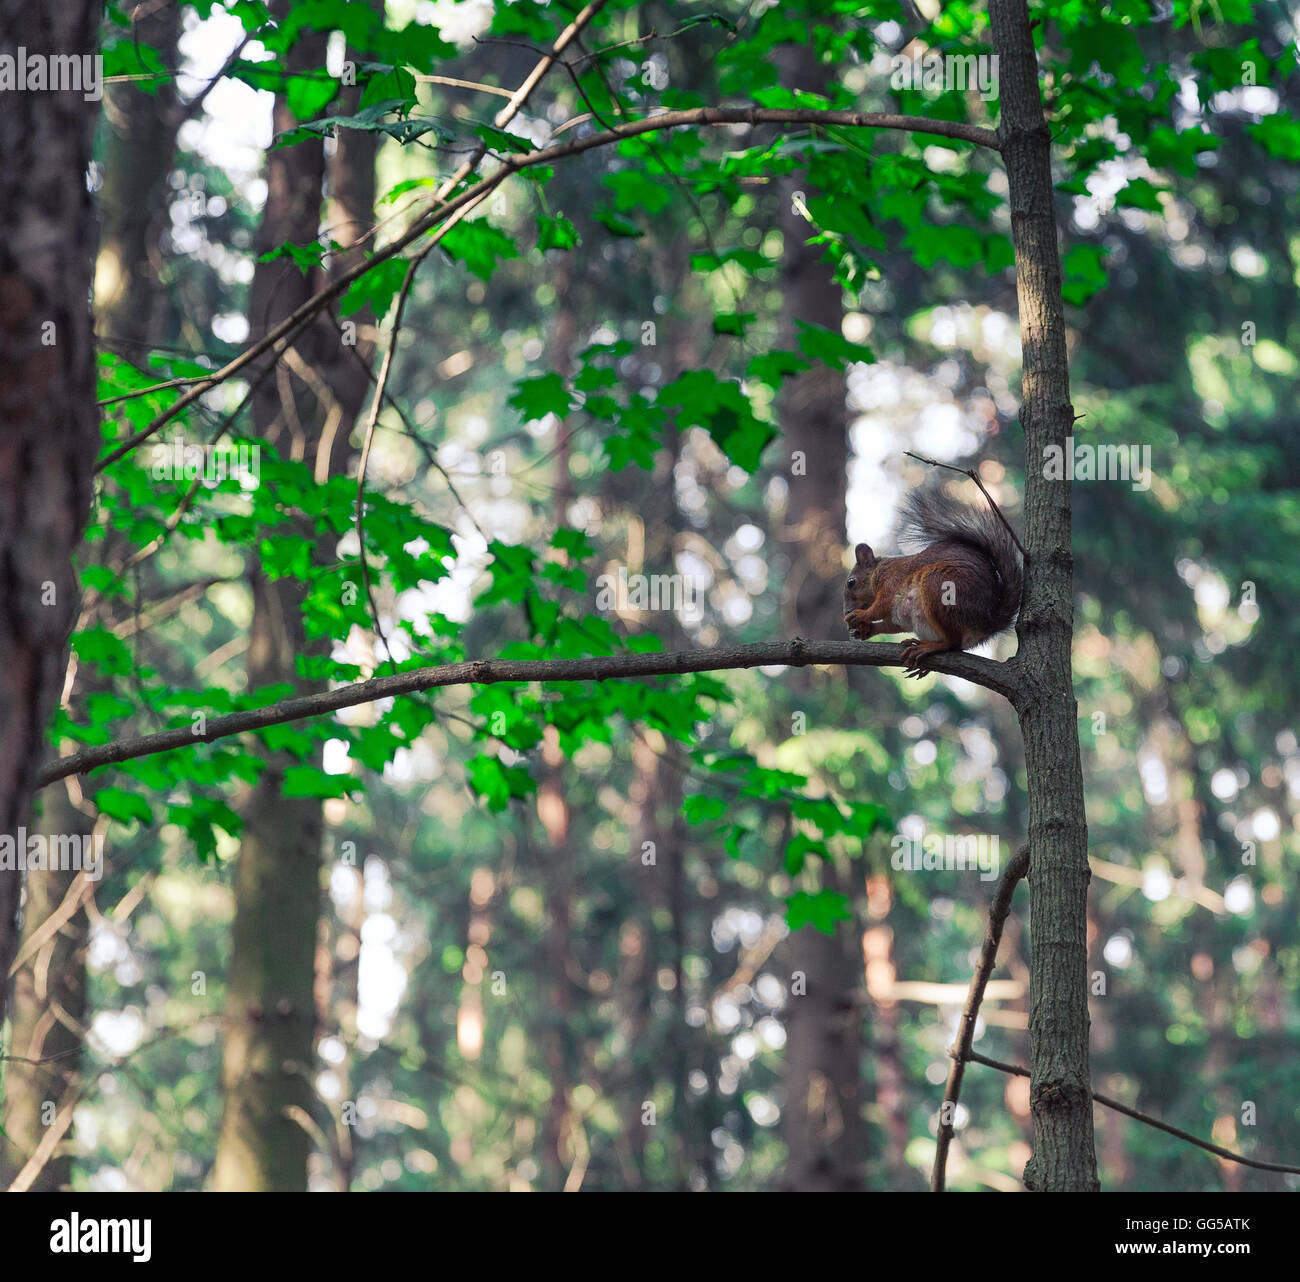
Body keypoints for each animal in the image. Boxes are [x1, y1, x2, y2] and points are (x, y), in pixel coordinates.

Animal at [843, 490, 1023, 678]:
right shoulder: (897, 614)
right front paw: (867, 629)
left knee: (953, 643)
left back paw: (928, 647)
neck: (879, 571)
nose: (846, 611)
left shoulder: (892, 580)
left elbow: (882, 605)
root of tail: (986, 622)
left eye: (851, 582)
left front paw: (860, 615)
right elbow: (893, 624)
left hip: (938, 586)